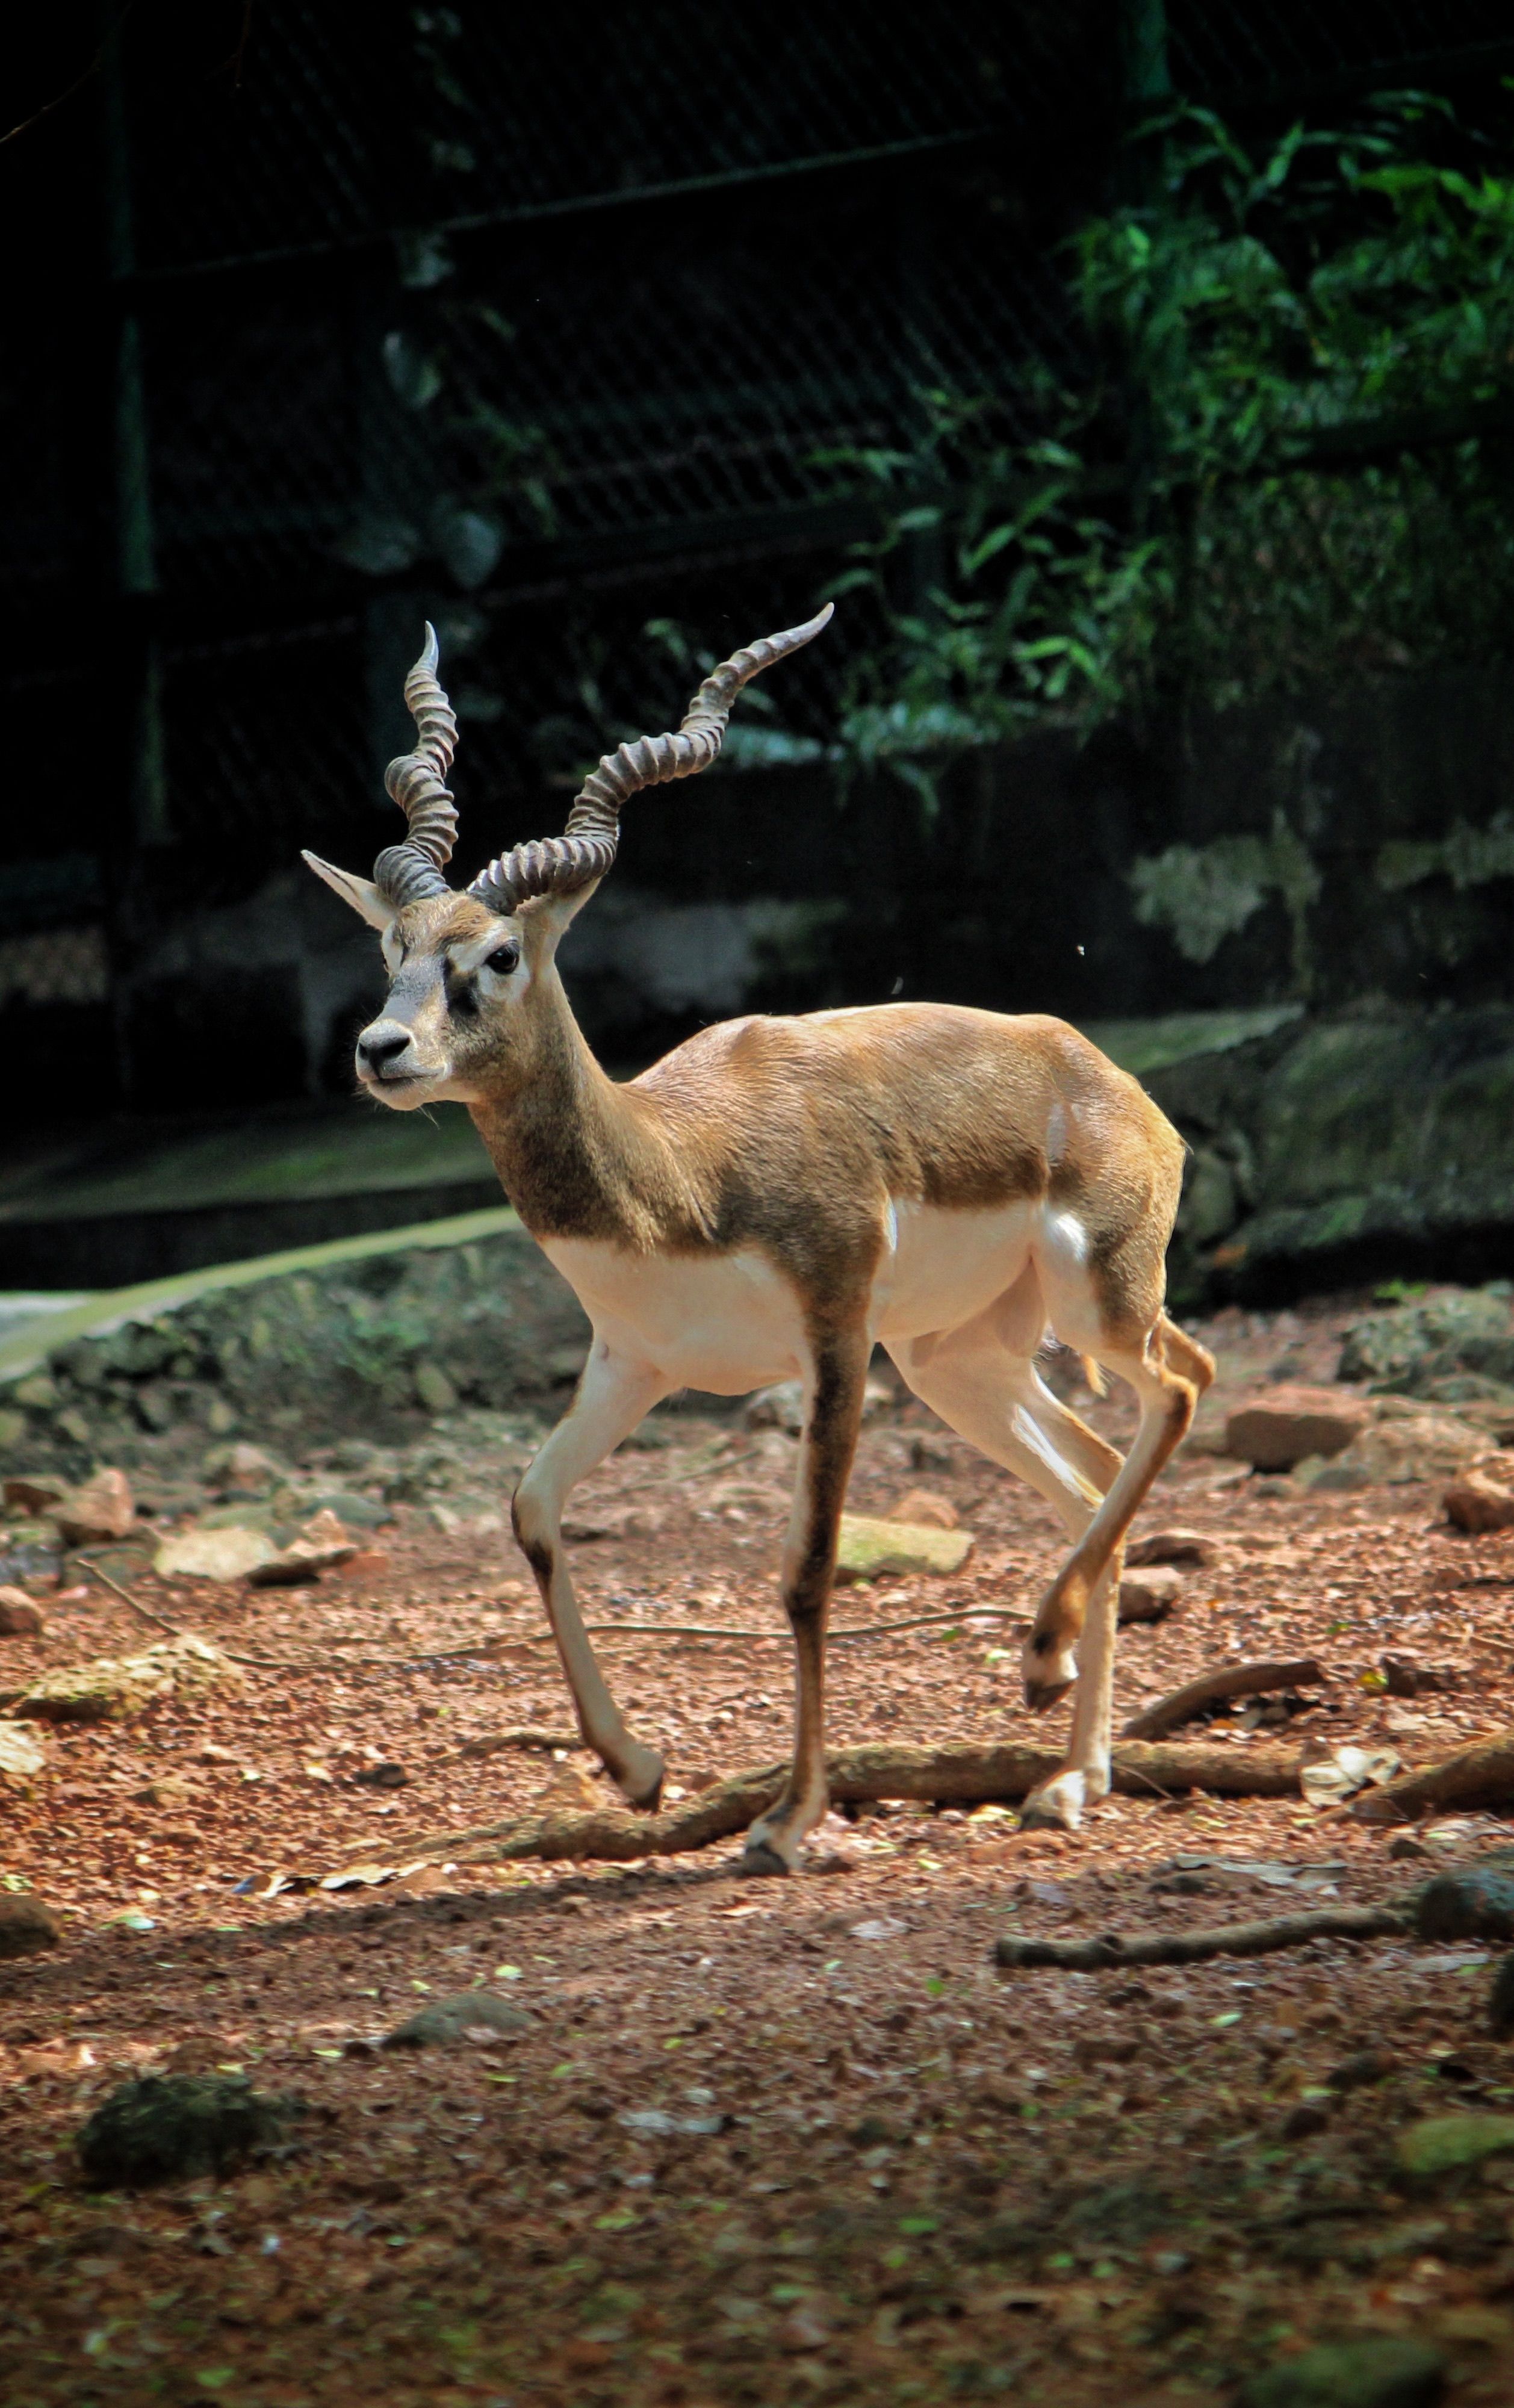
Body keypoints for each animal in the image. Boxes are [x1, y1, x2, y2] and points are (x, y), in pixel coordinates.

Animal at [303, 609, 1213, 1869]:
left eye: (498, 955)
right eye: (393, 947)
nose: (381, 1051)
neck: (680, 1171)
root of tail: (1108, 1079)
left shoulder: (832, 1342)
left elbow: (806, 1572)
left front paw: (790, 1814)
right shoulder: (634, 1364)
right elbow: (532, 1507)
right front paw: (636, 1769)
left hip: (1090, 1299)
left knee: (1183, 1384)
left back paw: (1042, 1671)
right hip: (954, 1361)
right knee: (1088, 1477)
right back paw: (1073, 1770)